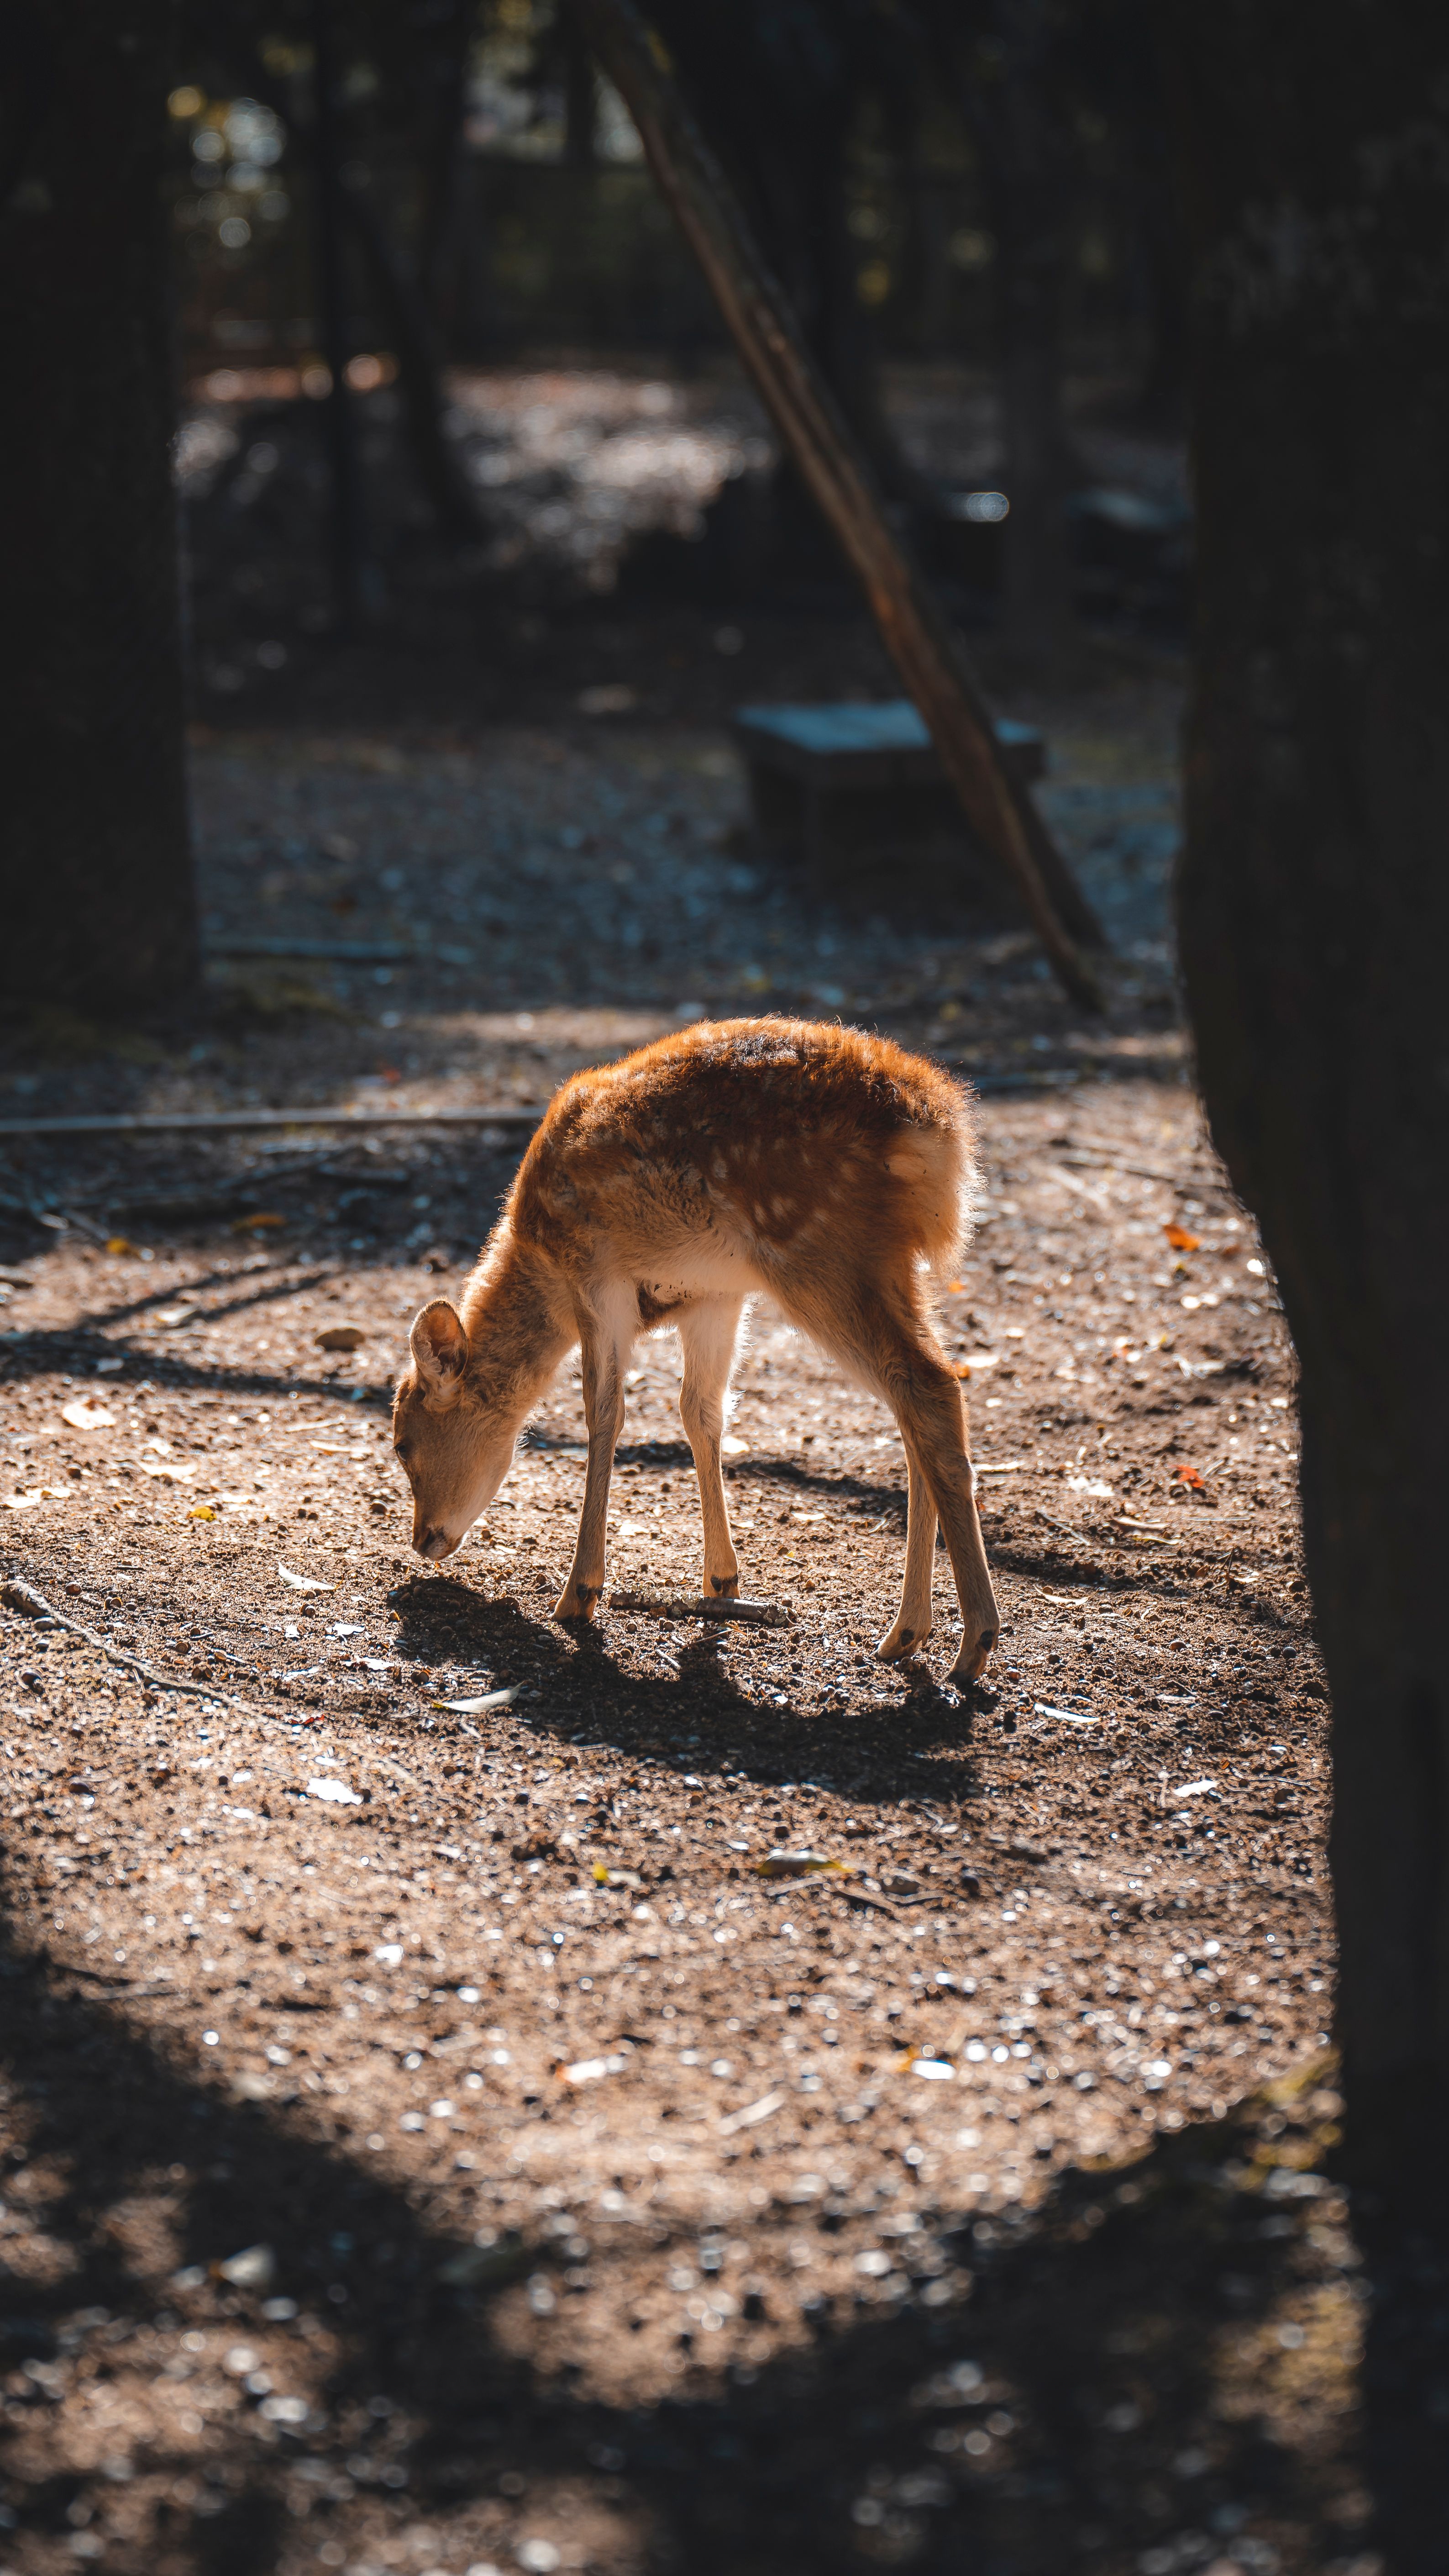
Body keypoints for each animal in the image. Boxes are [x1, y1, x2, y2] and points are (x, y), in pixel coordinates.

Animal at [392, 1016, 999, 1685]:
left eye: (402, 1443)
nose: (423, 1539)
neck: (541, 1263)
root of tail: (940, 1132)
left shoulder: (596, 1278)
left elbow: (604, 1413)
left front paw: (580, 1593)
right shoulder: (715, 1296)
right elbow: (700, 1410)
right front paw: (721, 1580)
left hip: (824, 1254)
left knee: (928, 1385)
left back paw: (972, 1643)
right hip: (890, 1267)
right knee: (919, 1398)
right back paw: (906, 1634)